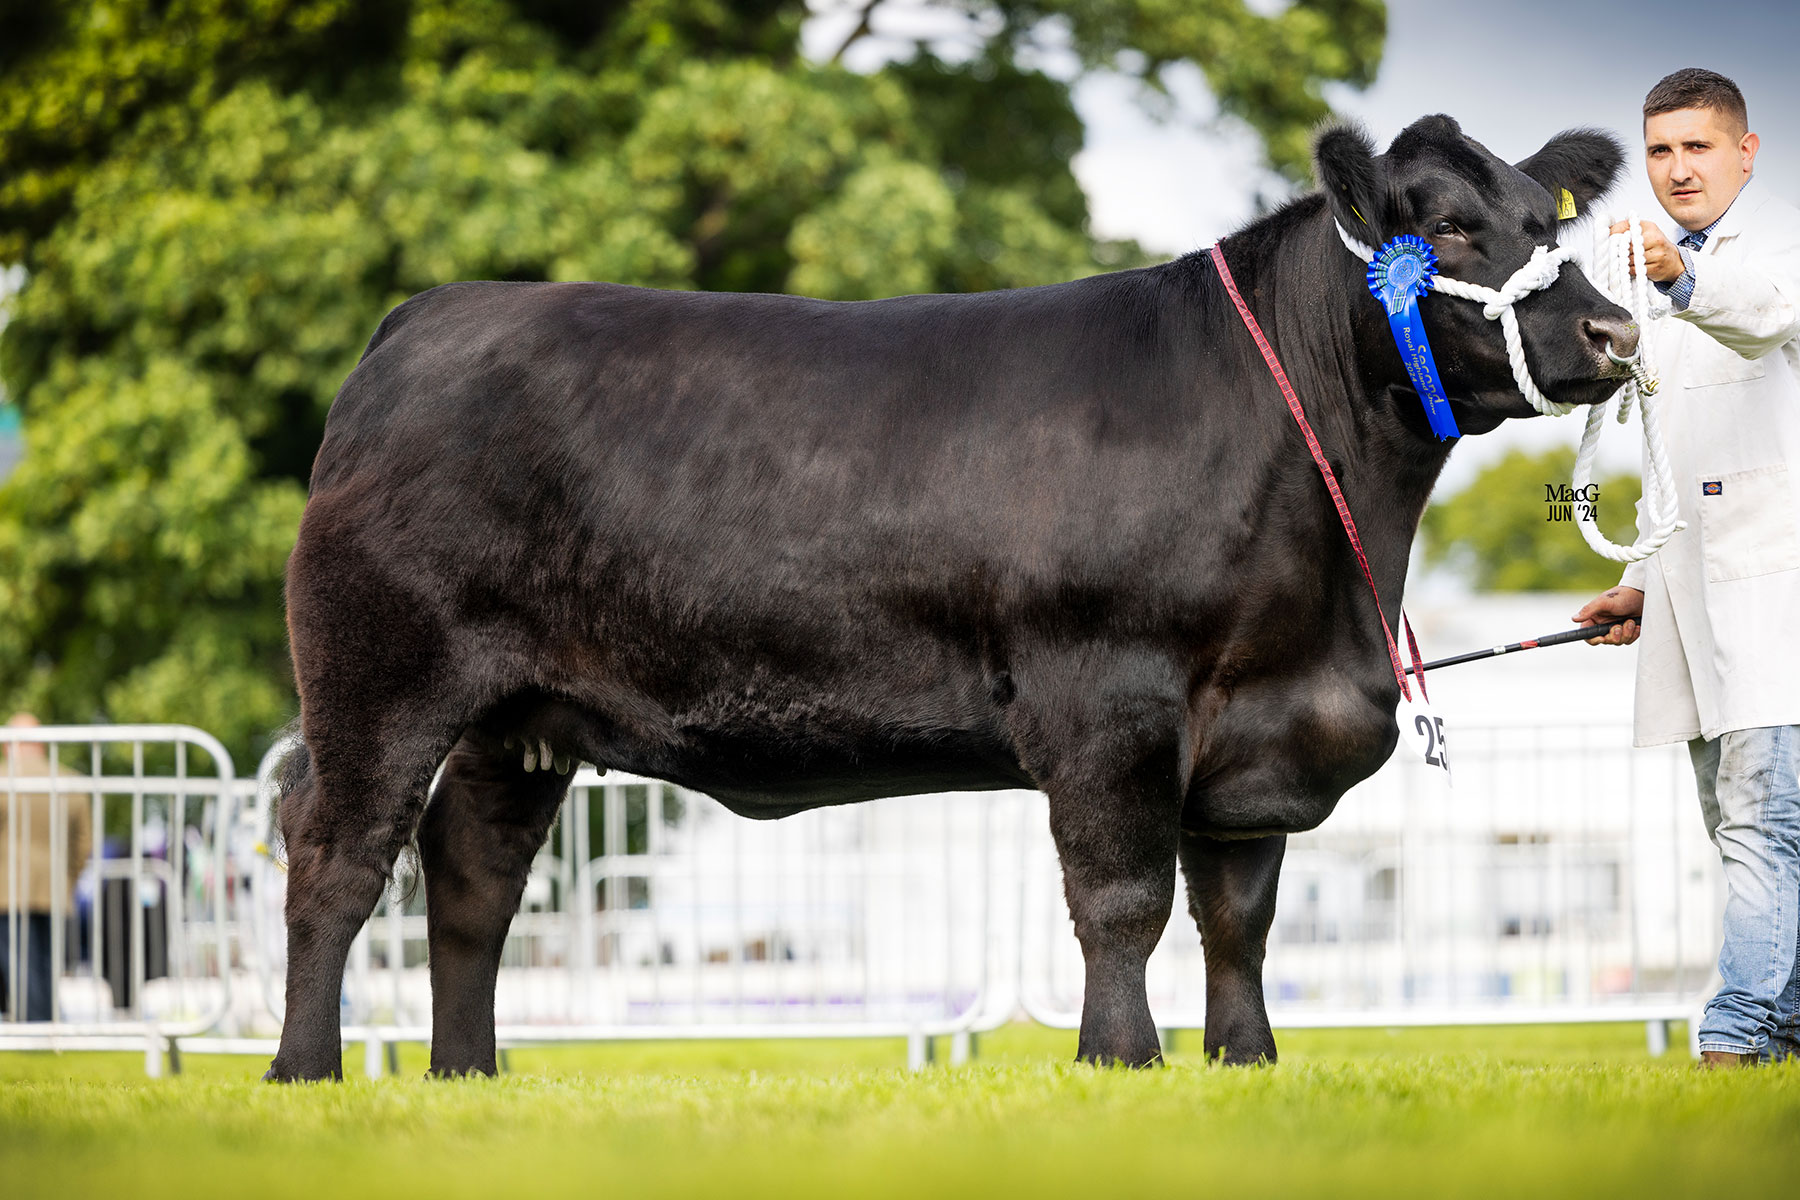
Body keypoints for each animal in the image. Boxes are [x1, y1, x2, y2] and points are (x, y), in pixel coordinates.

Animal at [265, 115, 1636, 1081]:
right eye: (1446, 228)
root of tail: (429, 318)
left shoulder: (1259, 720)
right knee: (338, 854)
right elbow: (1125, 900)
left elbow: (1240, 914)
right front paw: (1121, 1061)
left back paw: (466, 1077)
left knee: (471, 876)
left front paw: (1245, 1063)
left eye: (1544, 218)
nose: (1617, 333)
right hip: (380, 670)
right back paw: (305, 1074)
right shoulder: (1109, 694)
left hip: (518, 717)